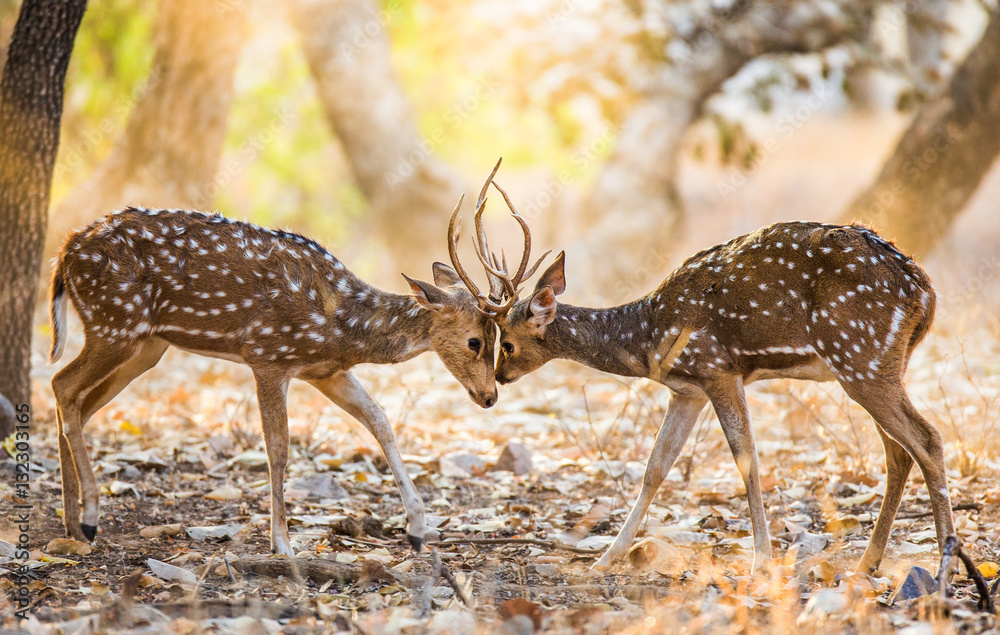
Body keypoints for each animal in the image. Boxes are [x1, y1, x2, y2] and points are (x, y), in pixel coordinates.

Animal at [47, 168, 516, 557]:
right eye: (475, 341)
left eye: (499, 340)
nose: (490, 396)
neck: (342, 326)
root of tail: (65, 251)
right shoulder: (269, 355)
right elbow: (278, 446)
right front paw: (283, 543)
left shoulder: (325, 371)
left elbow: (380, 420)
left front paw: (418, 529)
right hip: (114, 322)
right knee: (62, 384)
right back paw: (89, 519)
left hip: (145, 346)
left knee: (78, 403)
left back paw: (71, 525)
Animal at [458, 176, 955, 575]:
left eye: (506, 341)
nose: (500, 378)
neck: (647, 335)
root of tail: (927, 292)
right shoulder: (687, 391)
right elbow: (655, 467)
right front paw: (607, 558)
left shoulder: (718, 369)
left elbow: (746, 459)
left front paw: (761, 560)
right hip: (877, 364)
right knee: (899, 452)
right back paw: (869, 561)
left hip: (860, 356)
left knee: (926, 439)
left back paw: (945, 564)